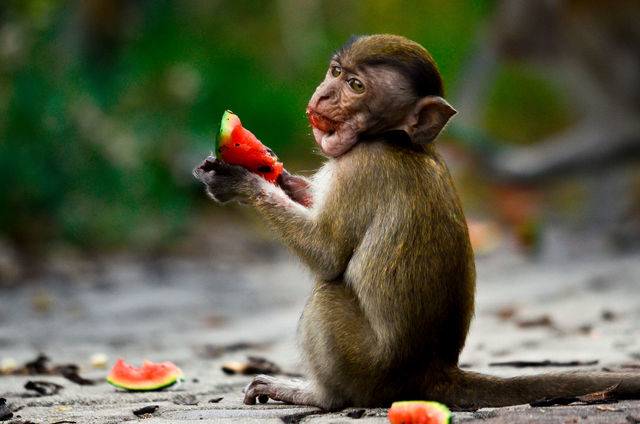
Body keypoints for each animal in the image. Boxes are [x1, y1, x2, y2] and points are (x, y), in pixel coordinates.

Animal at [193, 34, 640, 410]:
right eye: (336, 72)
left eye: (356, 86)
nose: (323, 95)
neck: (394, 137)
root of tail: (434, 372)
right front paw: (276, 174)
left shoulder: (361, 167)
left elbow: (326, 254)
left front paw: (241, 181)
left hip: (366, 369)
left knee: (328, 296)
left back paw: (316, 396)